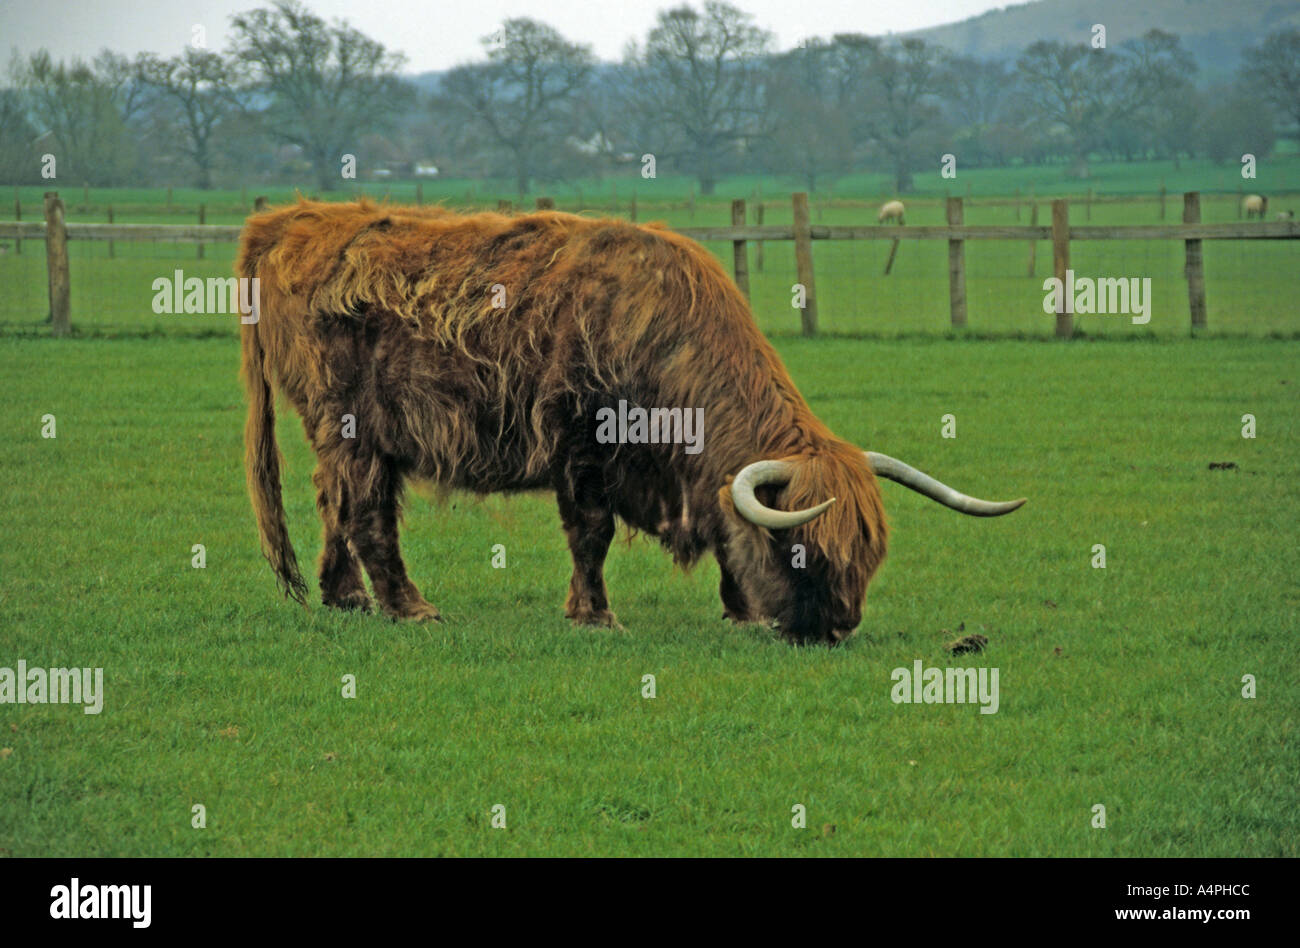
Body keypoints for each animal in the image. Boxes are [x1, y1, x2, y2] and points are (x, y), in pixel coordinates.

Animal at [238, 199, 1024, 645]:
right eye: (804, 553)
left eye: (868, 555)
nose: (836, 626)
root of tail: (296, 218)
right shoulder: (583, 445)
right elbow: (592, 535)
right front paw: (595, 616)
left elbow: (723, 528)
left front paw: (739, 610)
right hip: (351, 424)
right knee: (367, 513)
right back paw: (409, 608)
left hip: (343, 436)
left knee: (333, 502)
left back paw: (345, 598)